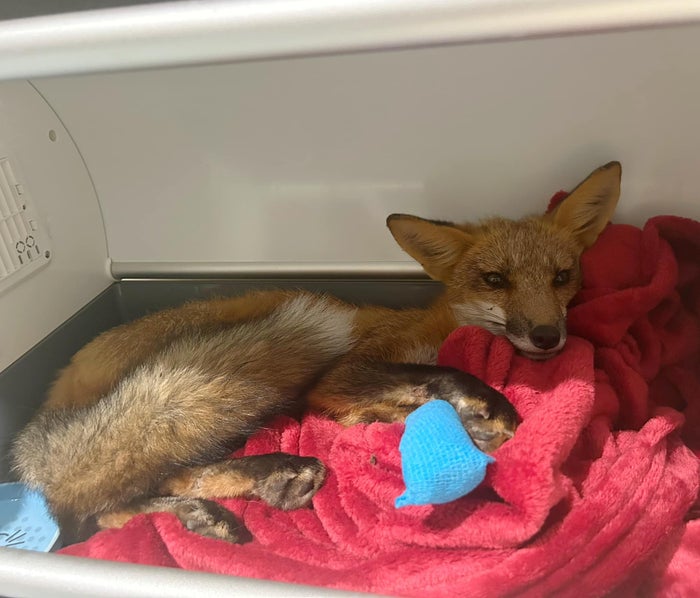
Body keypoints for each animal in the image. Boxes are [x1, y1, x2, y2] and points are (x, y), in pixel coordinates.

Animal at [12, 161, 621, 545]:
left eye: (563, 276)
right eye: (495, 279)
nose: (546, 336)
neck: (433, 325)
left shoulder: (344, 397)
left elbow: (408, 404)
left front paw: (456, 423)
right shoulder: (340, 376)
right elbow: (440, 376)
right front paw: (488, 409)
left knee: (130, 497)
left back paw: (250, 491)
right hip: (217, 401)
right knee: (100, 506)